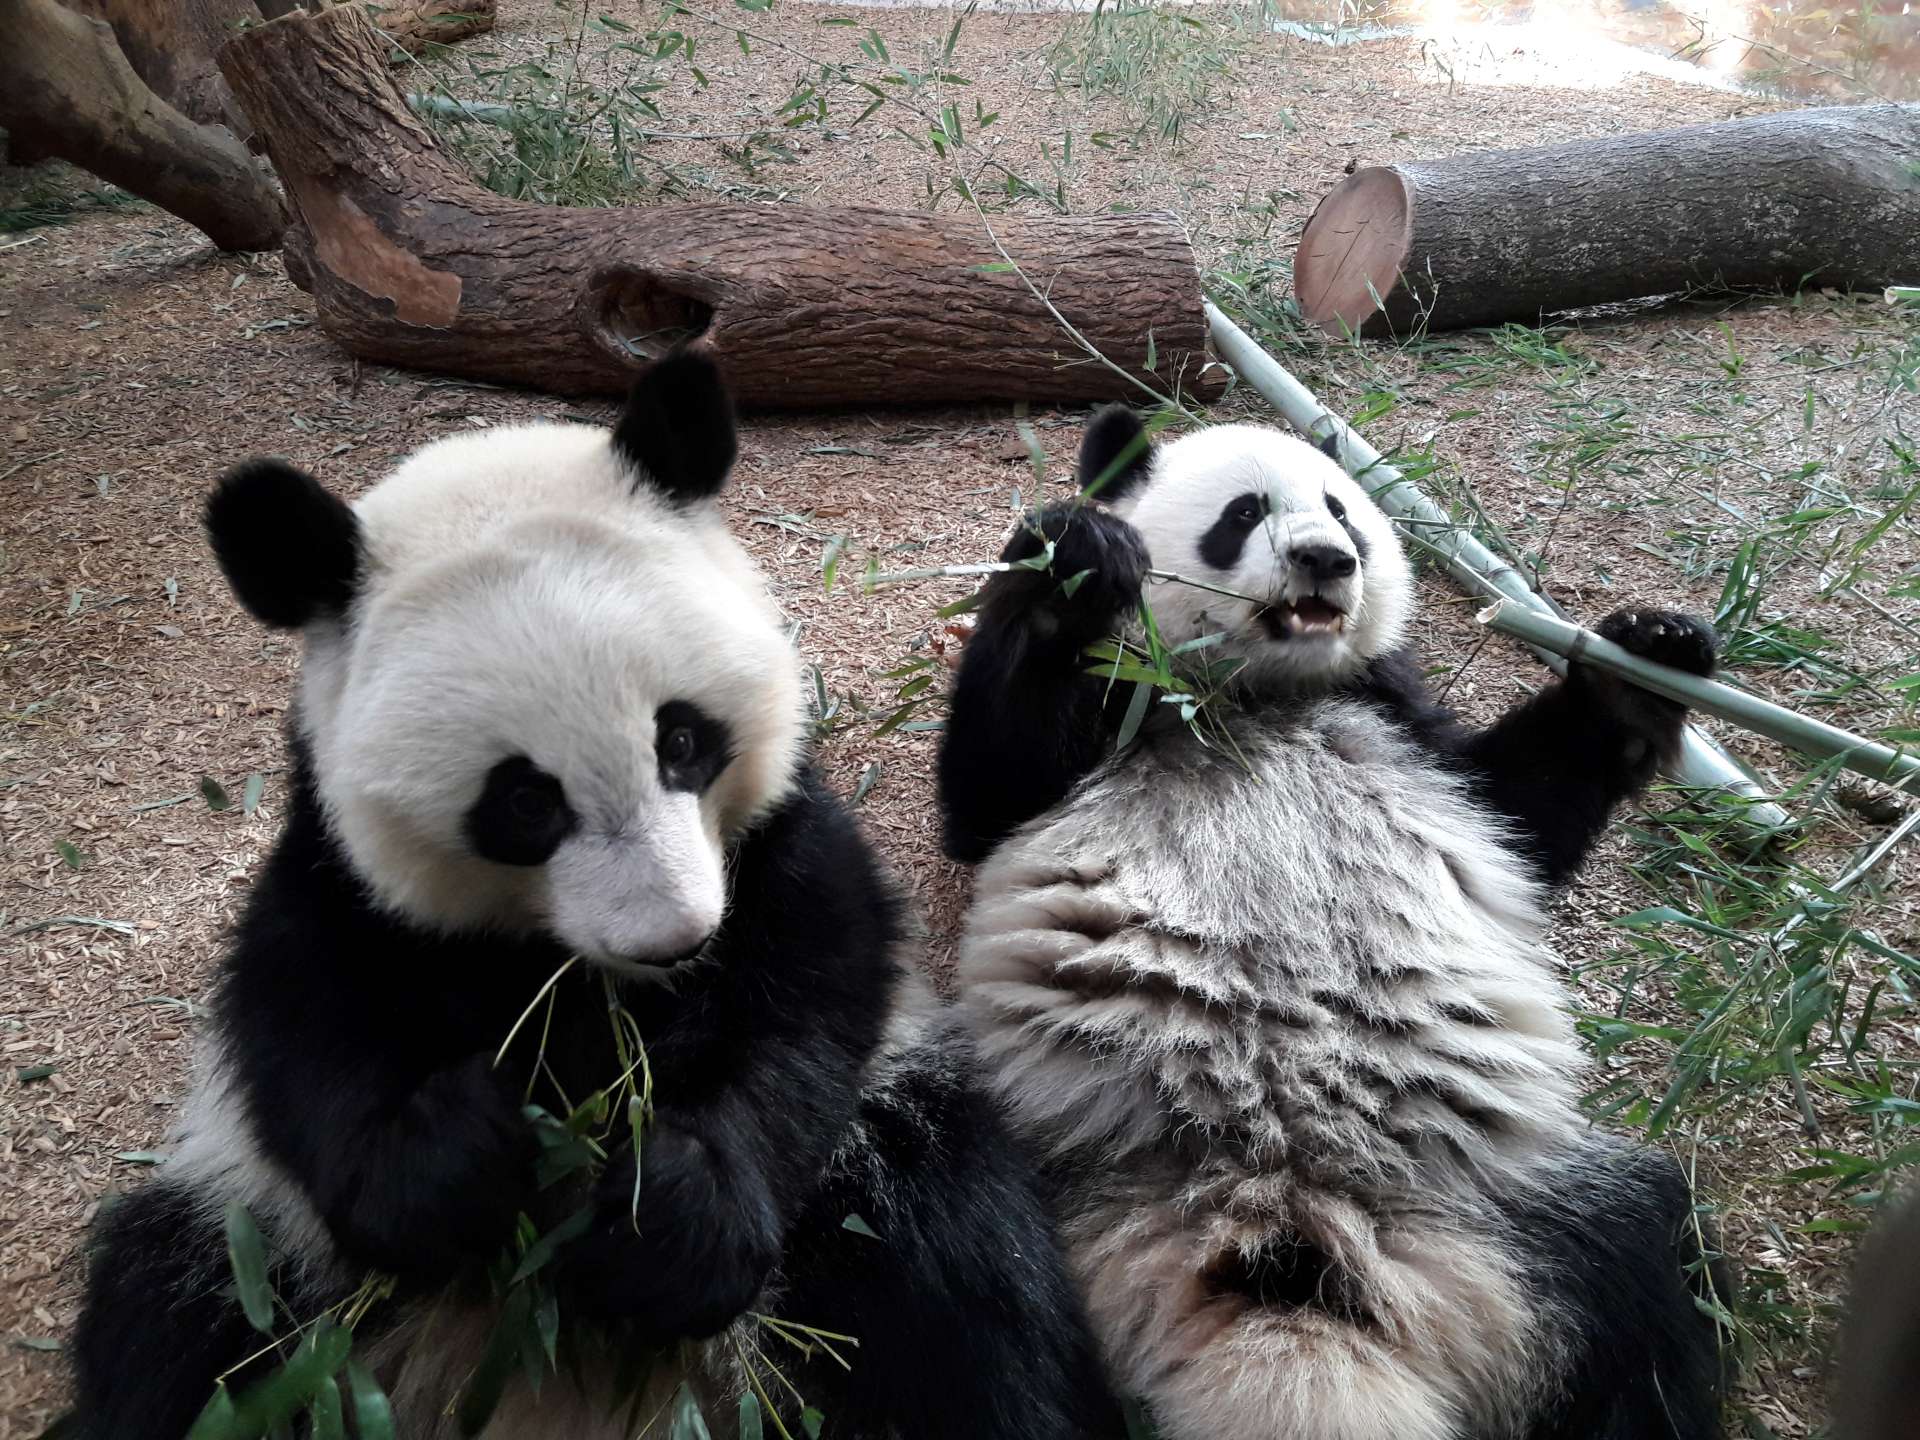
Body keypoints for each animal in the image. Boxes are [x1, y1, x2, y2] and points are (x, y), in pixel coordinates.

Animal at [69, 354, 1116, 1440]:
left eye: (682, 740)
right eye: (524, 801)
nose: (674, 941)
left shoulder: (779, 843)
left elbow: (813, 993)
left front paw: (676, 1224)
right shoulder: (338, 881)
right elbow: (302, 1025)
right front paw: (462, 1161)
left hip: (866, 1189)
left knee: (961, 1295)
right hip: (261, 1242)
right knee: (182, 1333)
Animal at [938, 406, 1728, 1440]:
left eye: (1343, 511)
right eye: (1243, 513)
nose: (1324, 559)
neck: (1256, 694)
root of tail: (1289, 1241)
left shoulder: (1391, 716)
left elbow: (1516, 813)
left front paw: (1648, 660)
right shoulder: (1115, 706)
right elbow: (990, 787)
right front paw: (1071, 558)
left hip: (1507, 1208)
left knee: (1651, 1284)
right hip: (1062, 1181)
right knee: (972, 1299)